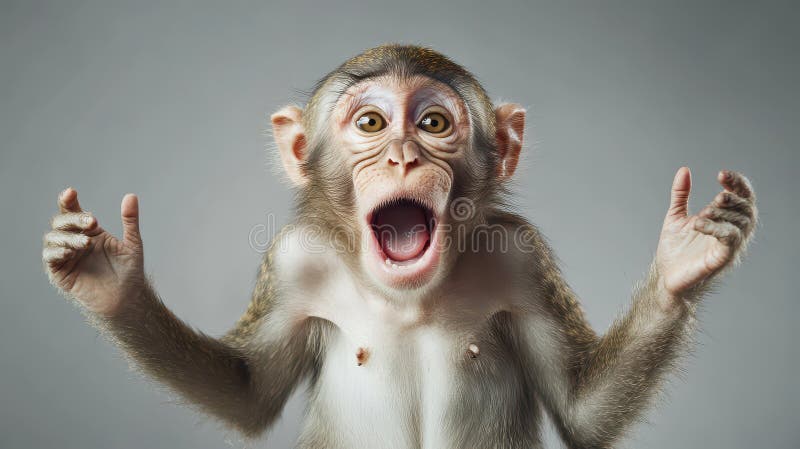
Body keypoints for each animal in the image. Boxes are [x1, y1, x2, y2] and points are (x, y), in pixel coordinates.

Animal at [42, 45, 758, 449]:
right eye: (371, 123)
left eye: (434, 123)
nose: (403, 155)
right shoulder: (293, 260)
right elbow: (249, 392)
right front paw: (111, 283)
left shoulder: (521, 257)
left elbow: (584, 412)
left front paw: (684, 260)